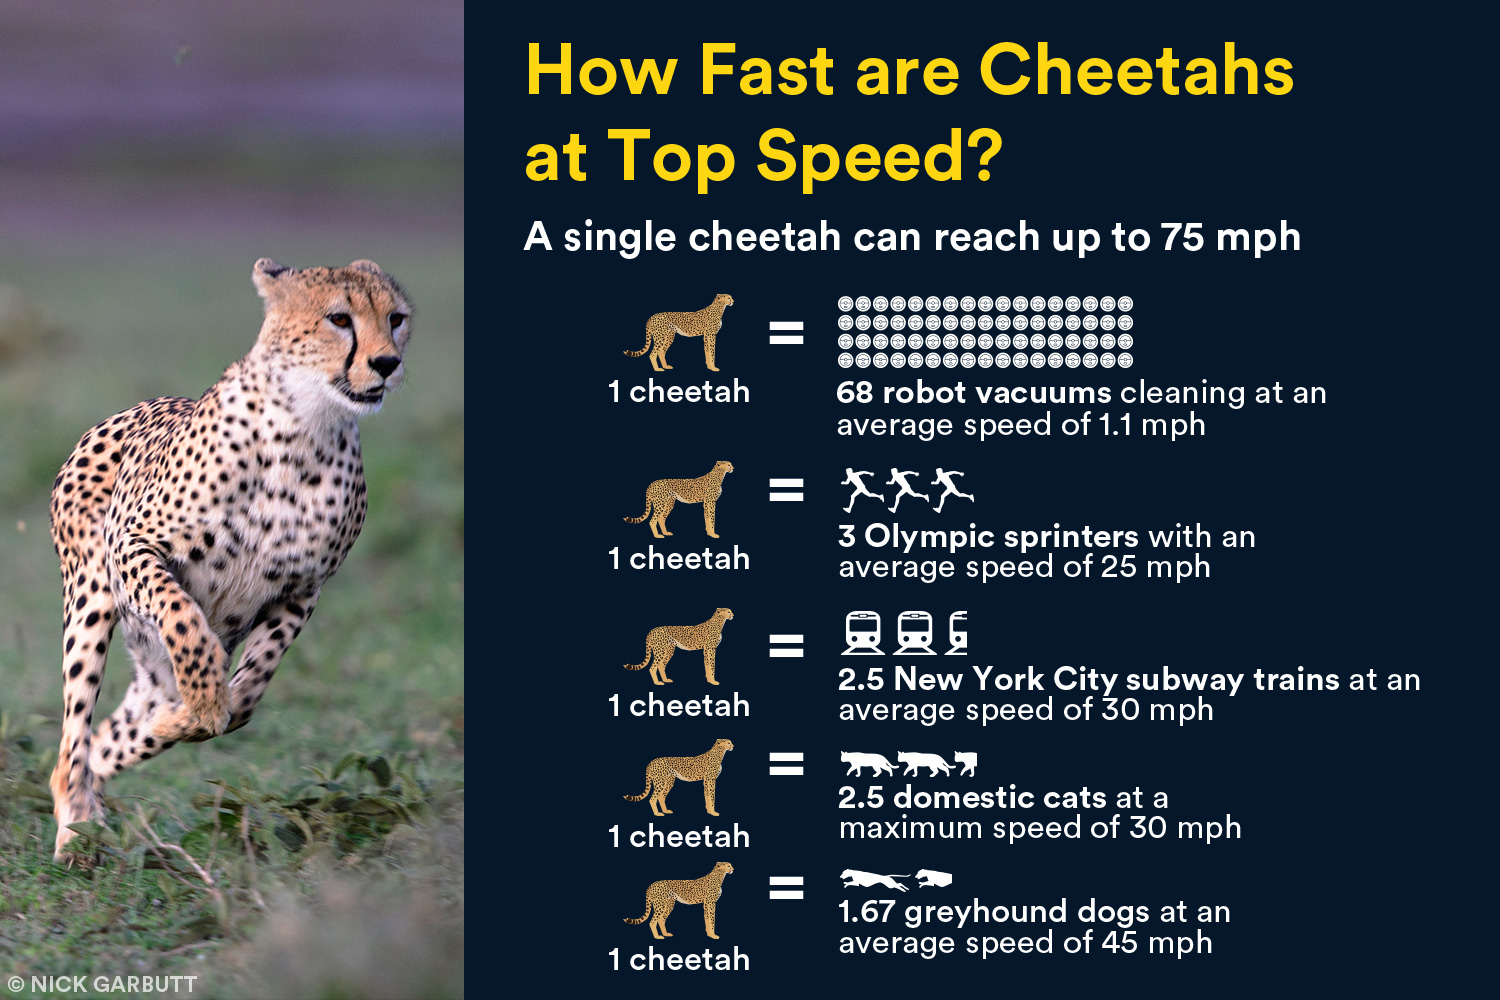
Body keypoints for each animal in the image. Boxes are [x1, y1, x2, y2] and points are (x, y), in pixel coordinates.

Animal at [46, 257, 411, 864]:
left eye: (396, 318)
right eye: (339, 318)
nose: (387, 362)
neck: (305, 428)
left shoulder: (301, 591)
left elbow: (248, 693)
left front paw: (202, 711)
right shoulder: (133, 545)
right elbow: (184, 619)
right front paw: (205, 694)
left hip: (152, 673)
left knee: (107, 740)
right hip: (91, 604)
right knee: (72, 741)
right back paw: (75, 831)